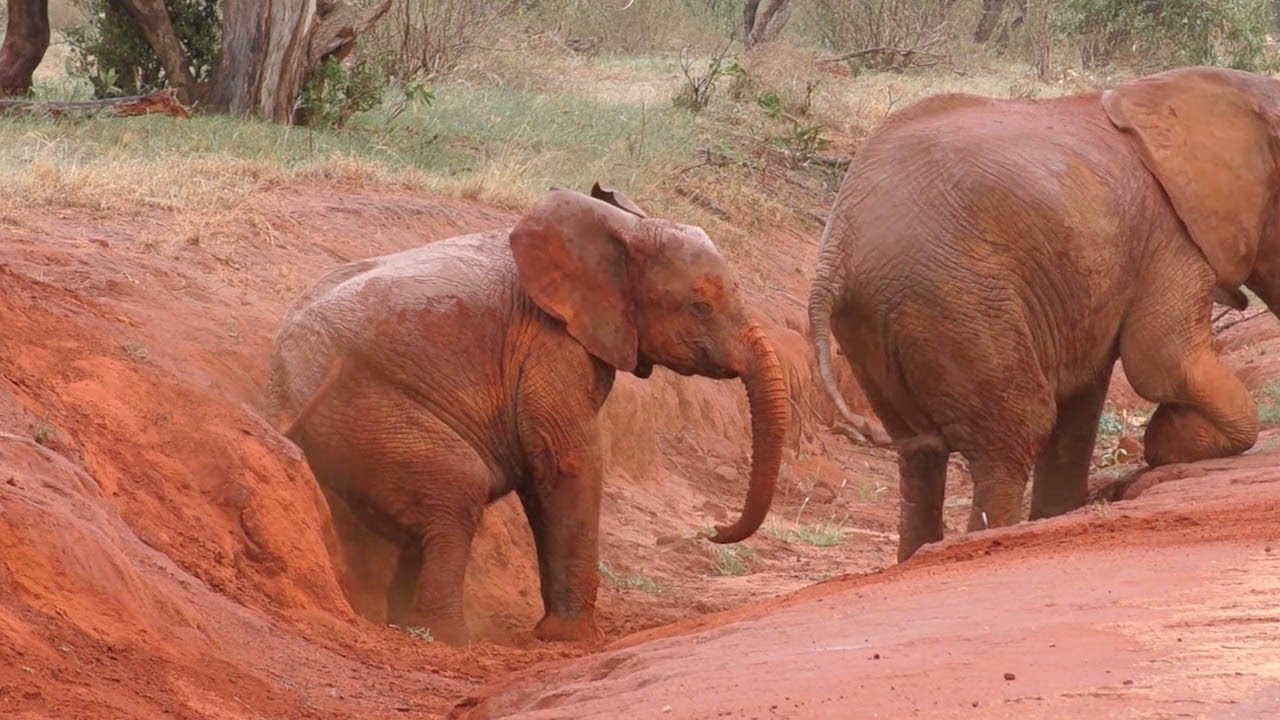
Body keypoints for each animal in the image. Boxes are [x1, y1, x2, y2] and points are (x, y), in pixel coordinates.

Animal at [267, 183, 788, 644]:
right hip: (370, 412)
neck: (623, 229)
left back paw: (405, 626)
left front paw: (556, 632)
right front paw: (570, 639)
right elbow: (568, 462)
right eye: (700, 307)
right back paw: (450, 639)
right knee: (457, 493)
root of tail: (283, 388)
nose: (715, 530)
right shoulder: (548, 343)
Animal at [808, 66, 1280, 563]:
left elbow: (1084, 398)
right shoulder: (1170, 234)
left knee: (919, 455)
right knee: (1017, 432)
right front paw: (1169, 442)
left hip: (881, 321)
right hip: (958, 297)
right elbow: (1160, 363)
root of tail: (836, 248)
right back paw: (989, 540)